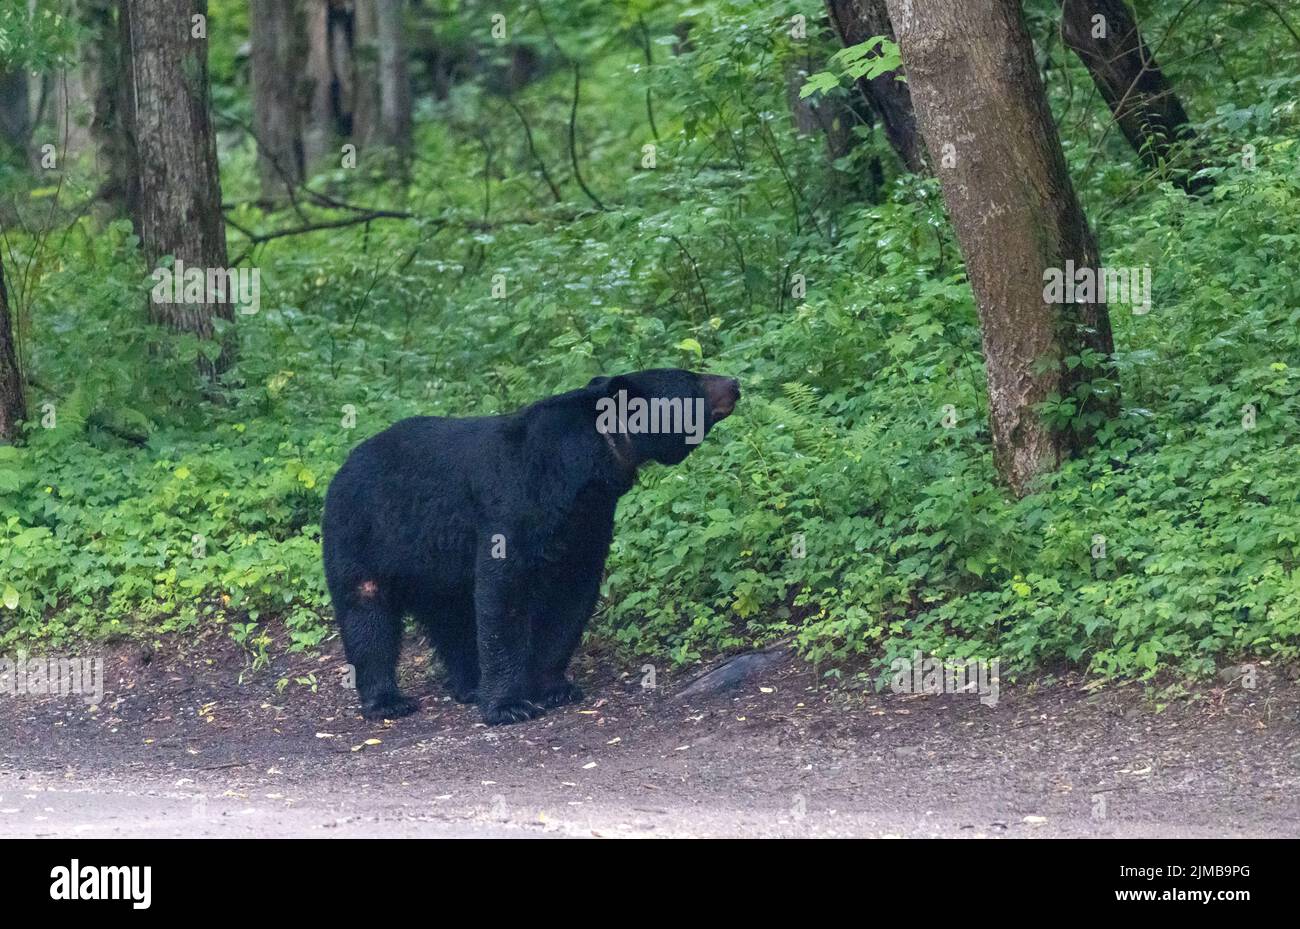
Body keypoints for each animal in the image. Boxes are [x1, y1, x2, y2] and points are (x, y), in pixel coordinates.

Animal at [322, 368, 740, 725]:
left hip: (436, 567)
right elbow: (504, 594)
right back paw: (388, 700)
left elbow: (571, 596)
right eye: (692, 379)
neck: (580, 470)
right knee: (367, 614)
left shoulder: (588, 520)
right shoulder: (514, 504)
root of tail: (344, 465)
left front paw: (554, 686)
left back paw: (469, 684)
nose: (734, 383)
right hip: (366, 534)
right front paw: (508, 705)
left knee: (452, 619)